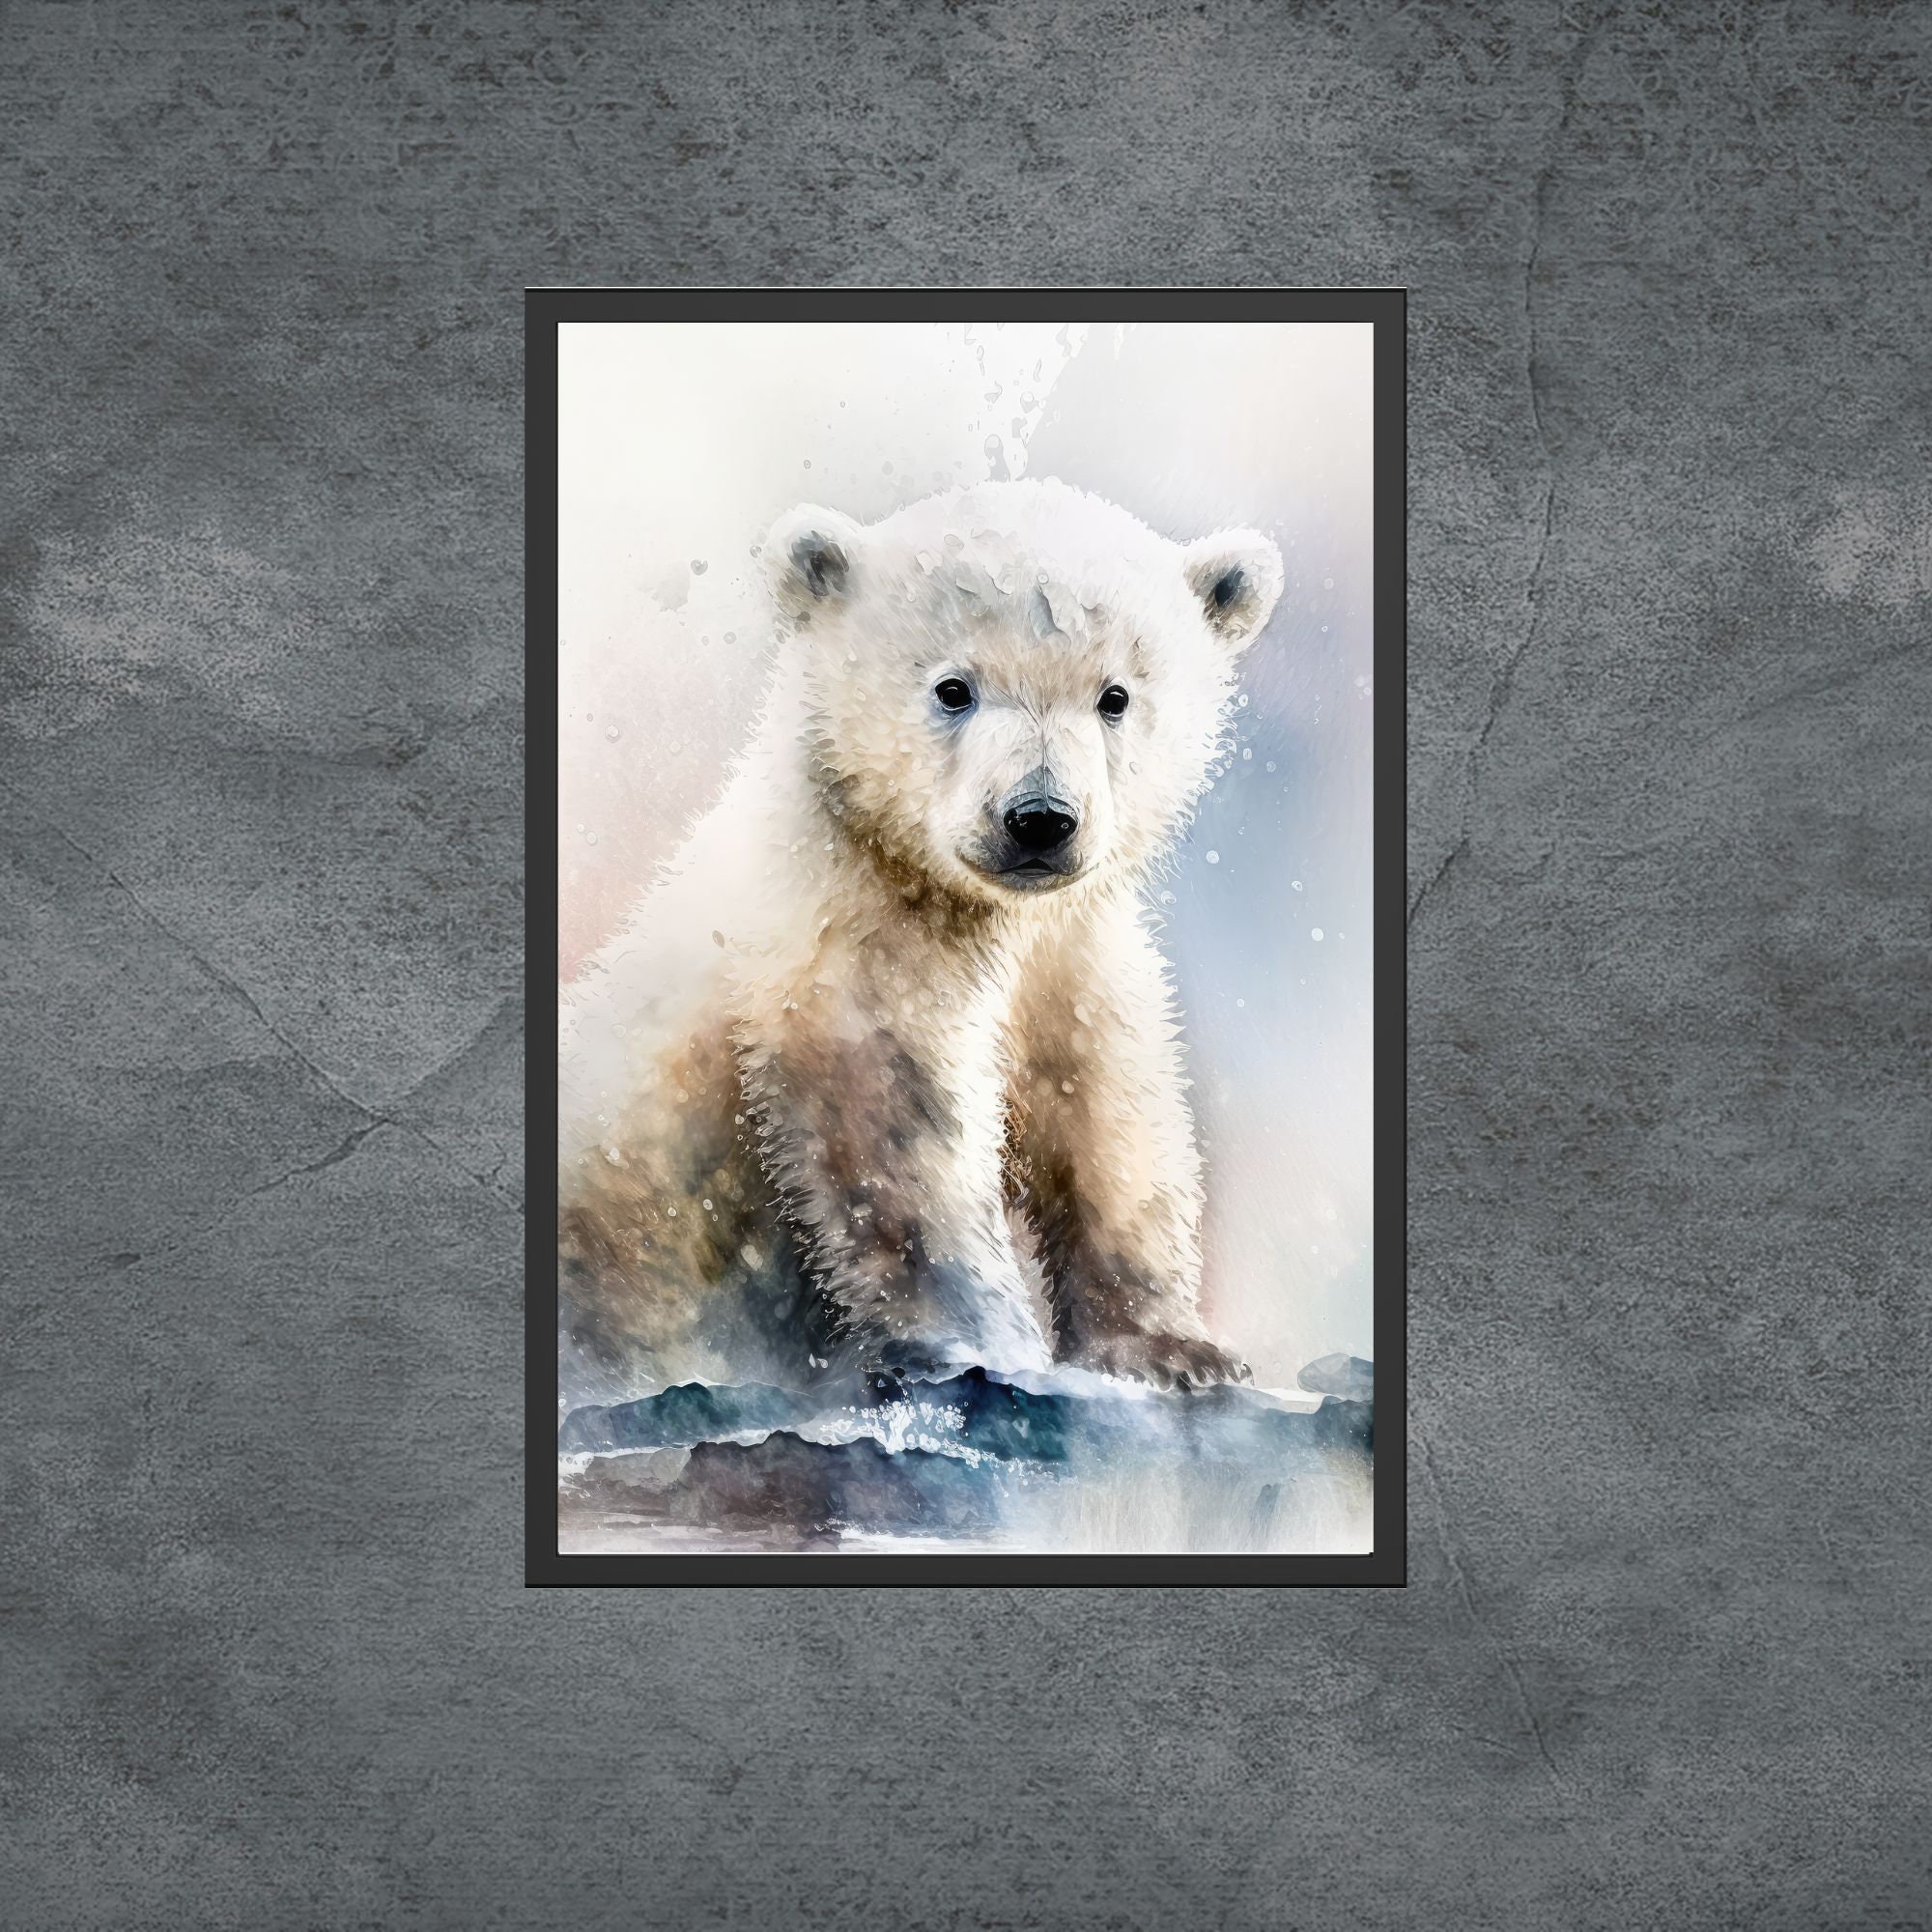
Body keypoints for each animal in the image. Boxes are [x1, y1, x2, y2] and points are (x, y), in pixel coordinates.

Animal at [558, 478, 1283, 1399]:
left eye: (1115, 696)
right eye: (953, 688)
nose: (1039, 818)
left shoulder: (1075, 956)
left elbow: (1109, 1117)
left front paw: (1173, 1347)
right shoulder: (842, 955)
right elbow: (903, 1134)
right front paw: (982, 1344)